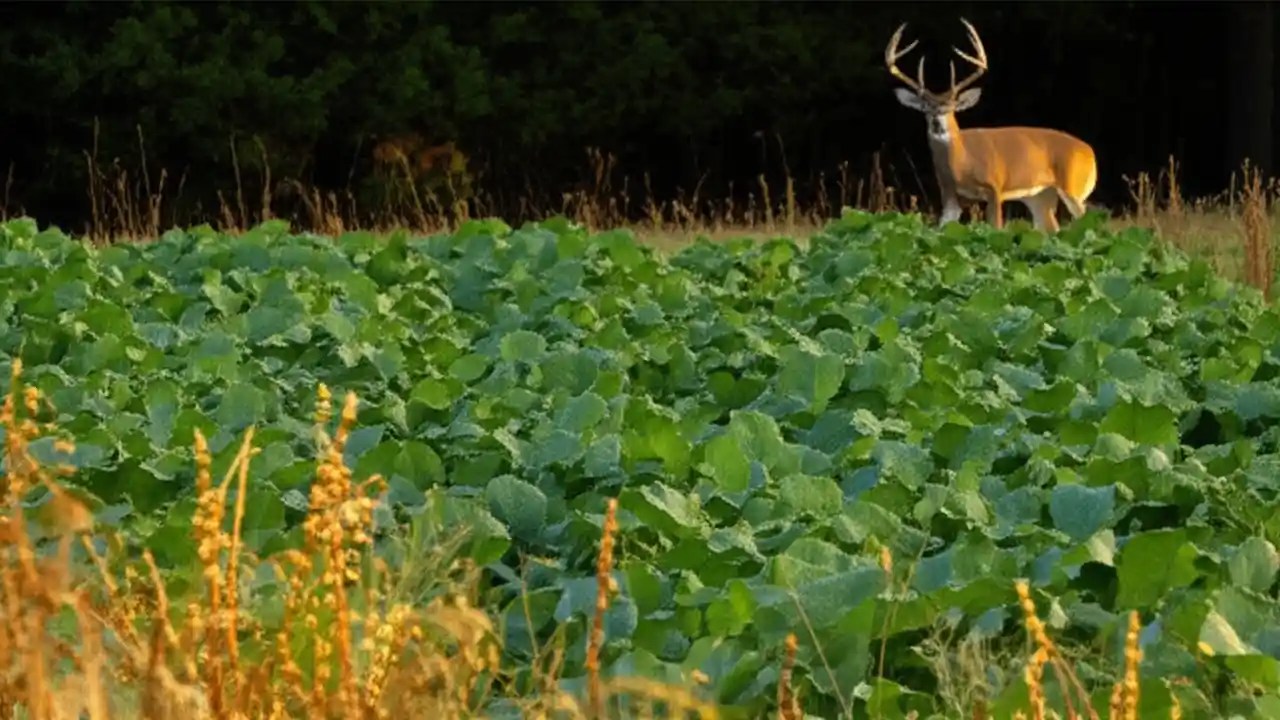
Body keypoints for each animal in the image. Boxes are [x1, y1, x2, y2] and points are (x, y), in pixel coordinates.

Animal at [885, 18, 1098, 232]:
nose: (937, 122)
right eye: (925, 109)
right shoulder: (949, 194)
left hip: (1074, 187)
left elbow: (996, 228)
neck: (962, 163)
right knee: (1052, 229)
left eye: (952, 109)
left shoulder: (995, 187)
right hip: (1039, 195)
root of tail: (1090, 152)